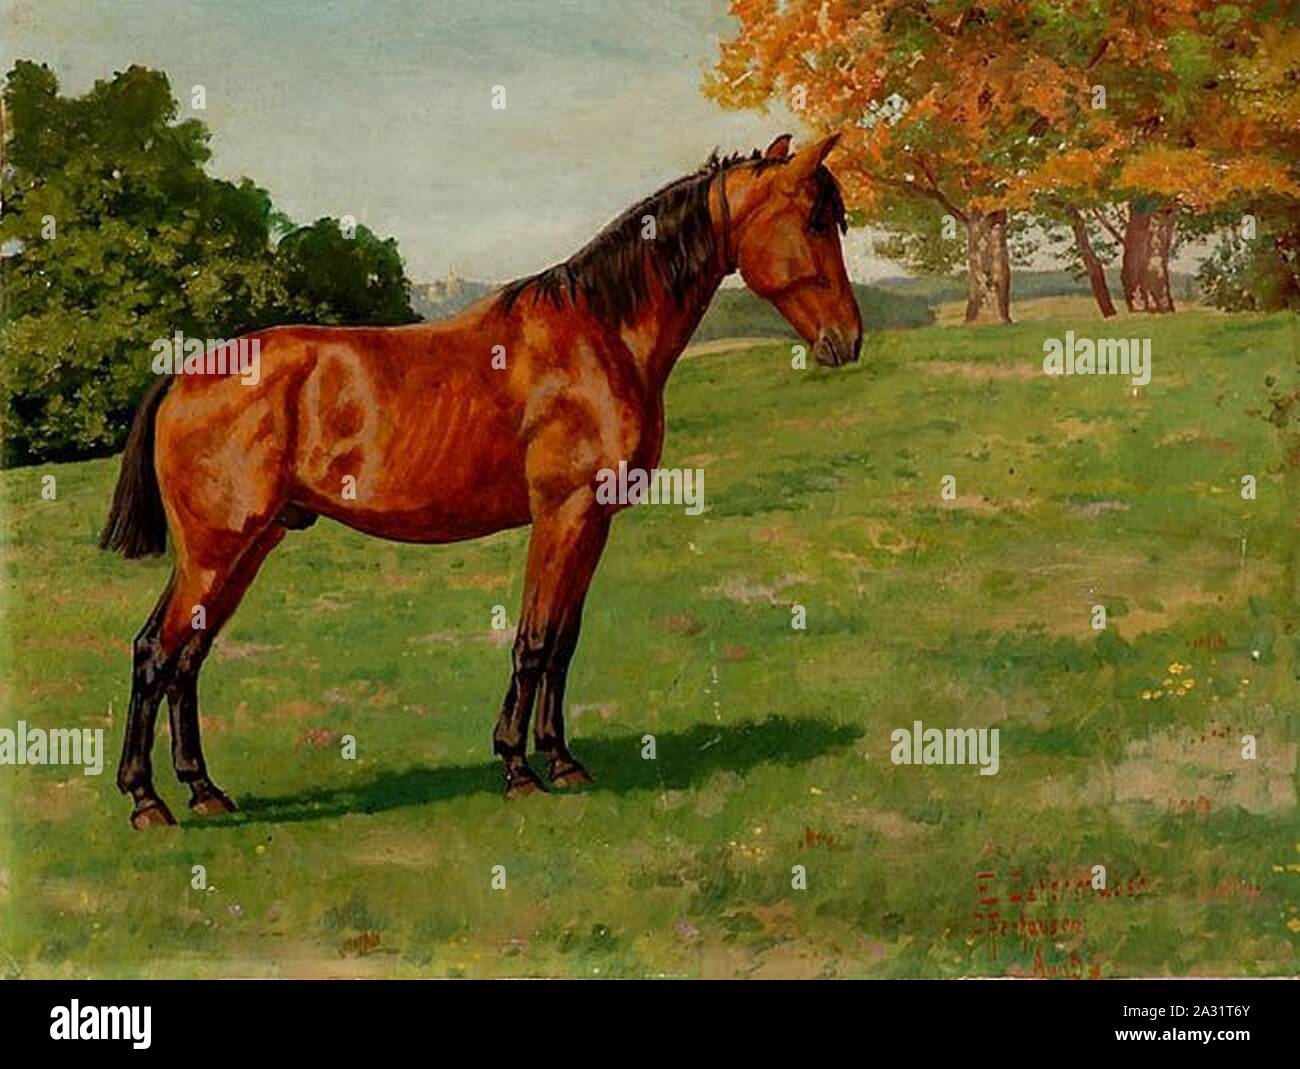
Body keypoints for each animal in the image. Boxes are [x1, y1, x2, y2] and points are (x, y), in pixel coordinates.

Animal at [100, 133, 862, 829]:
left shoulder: (594, 521)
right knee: (155, 653)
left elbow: (563, 642)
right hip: (216, 551)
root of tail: (184, 374)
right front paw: (518, 768)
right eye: (814, 221)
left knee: (186, 658)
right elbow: (533, 640)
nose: (846, 341)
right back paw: (146, 801)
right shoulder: (563, 514)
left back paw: (203, 790)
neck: (597, 333)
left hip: (245, 548)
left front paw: (562, 759)